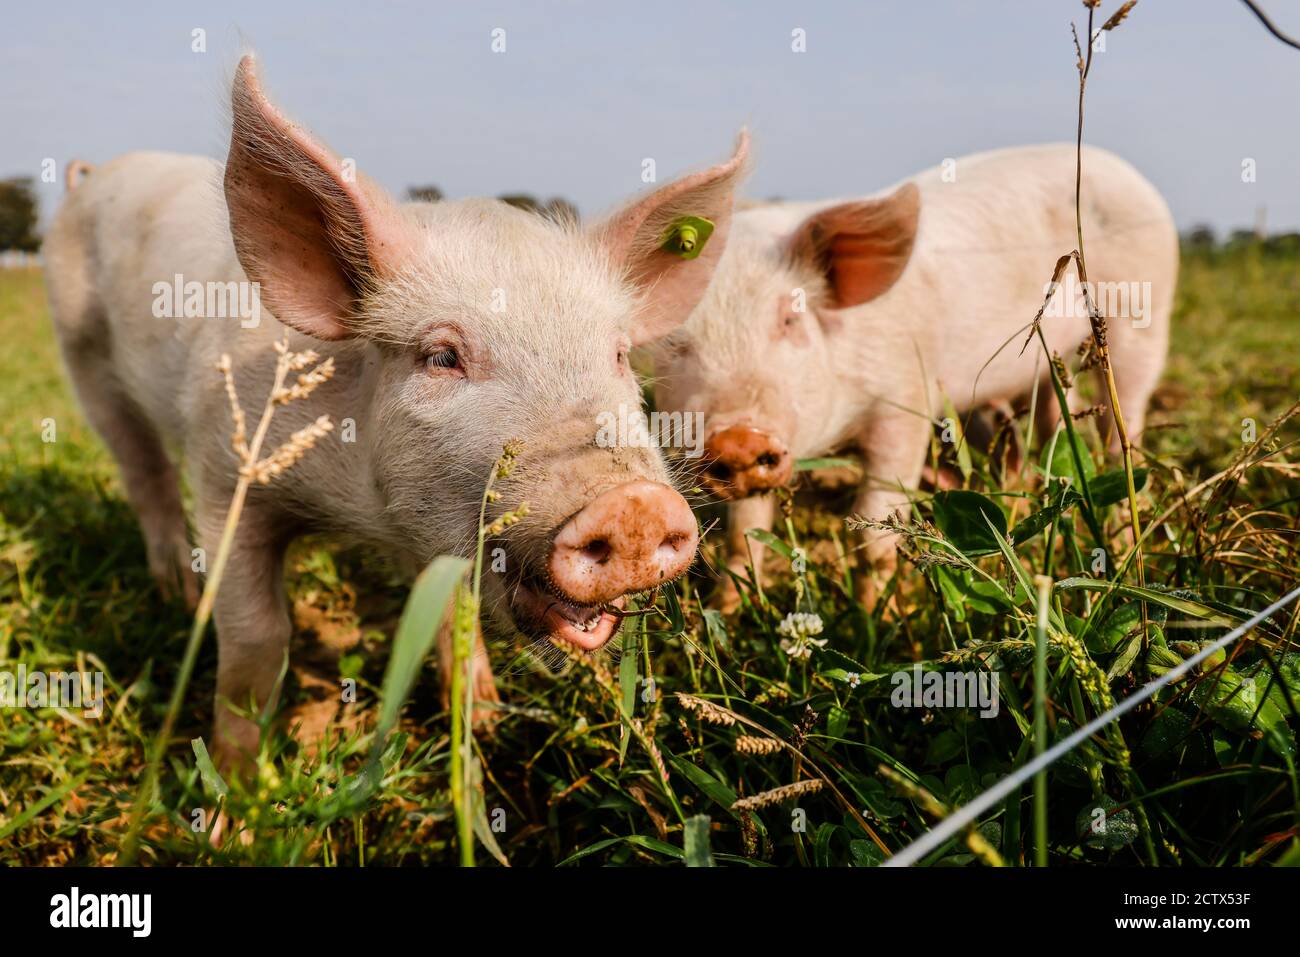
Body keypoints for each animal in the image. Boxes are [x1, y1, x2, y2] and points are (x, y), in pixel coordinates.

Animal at [43, 56, 749, 772]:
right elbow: (255, 636)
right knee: (143, 472)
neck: (362, 516)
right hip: (80, 349)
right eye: (442, 357)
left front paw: (484, 723)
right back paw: (175, 595)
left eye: (619, 354)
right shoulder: (225, 470)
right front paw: (234, 794)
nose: (635, 505)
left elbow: (449, 617)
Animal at [649, 144, 1177, 607]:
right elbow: (745, 533)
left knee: (1123, 422)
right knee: (1052, 417)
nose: (738, 439)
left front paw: (874, 615)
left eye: (790, 319)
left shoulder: (904, 398)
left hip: (1141, 320)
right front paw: (729, 609)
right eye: (674, 340)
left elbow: (876, 521)